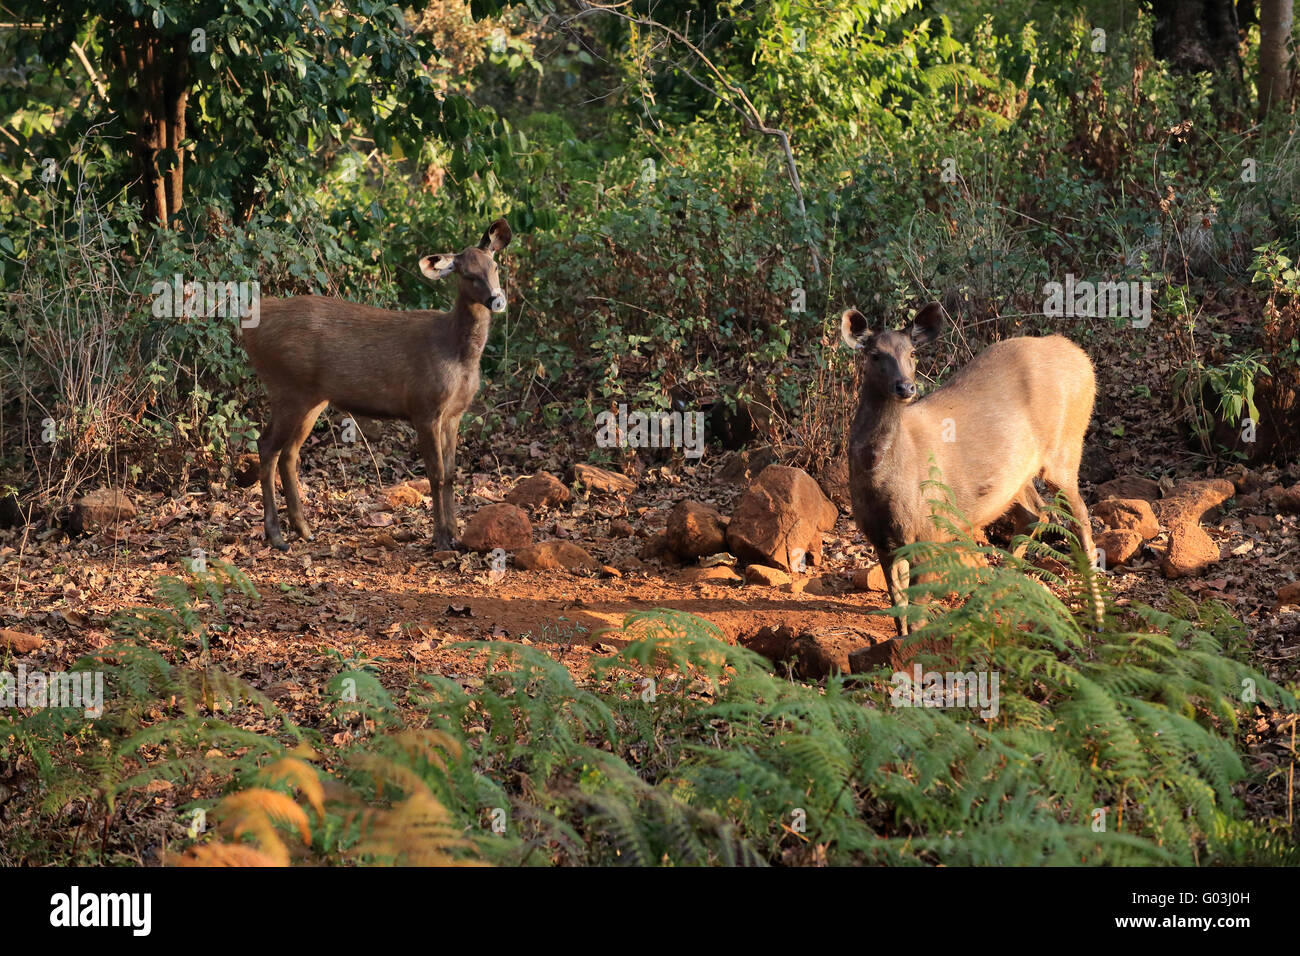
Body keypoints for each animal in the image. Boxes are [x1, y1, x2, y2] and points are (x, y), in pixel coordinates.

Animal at [242, 218, 512, 552]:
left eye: (495, 266)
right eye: (468, 274)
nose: (497, 300)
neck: (457, 354)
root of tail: (248, 327)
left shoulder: (453, 414)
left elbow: (450, 475)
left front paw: (455, 534)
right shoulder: (424, 407)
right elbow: (435, 474)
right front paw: (440, 538)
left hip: (312, 398)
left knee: (289, 452)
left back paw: (303, 528)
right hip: (287, 388)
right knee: (267, 446)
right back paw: (276, 534)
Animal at [840, 301, 1097, 637]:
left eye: (913, 352)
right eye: (874, 355)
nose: (906, 387)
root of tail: (1081, 358)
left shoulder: (930, 528)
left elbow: (917, 614)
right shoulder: (881, 539)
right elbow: (898, 610)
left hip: (1065, 448)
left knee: (1079, 516)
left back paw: (1097, 614)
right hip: (1017, 475)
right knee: (1035, 513)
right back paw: (988, 600)